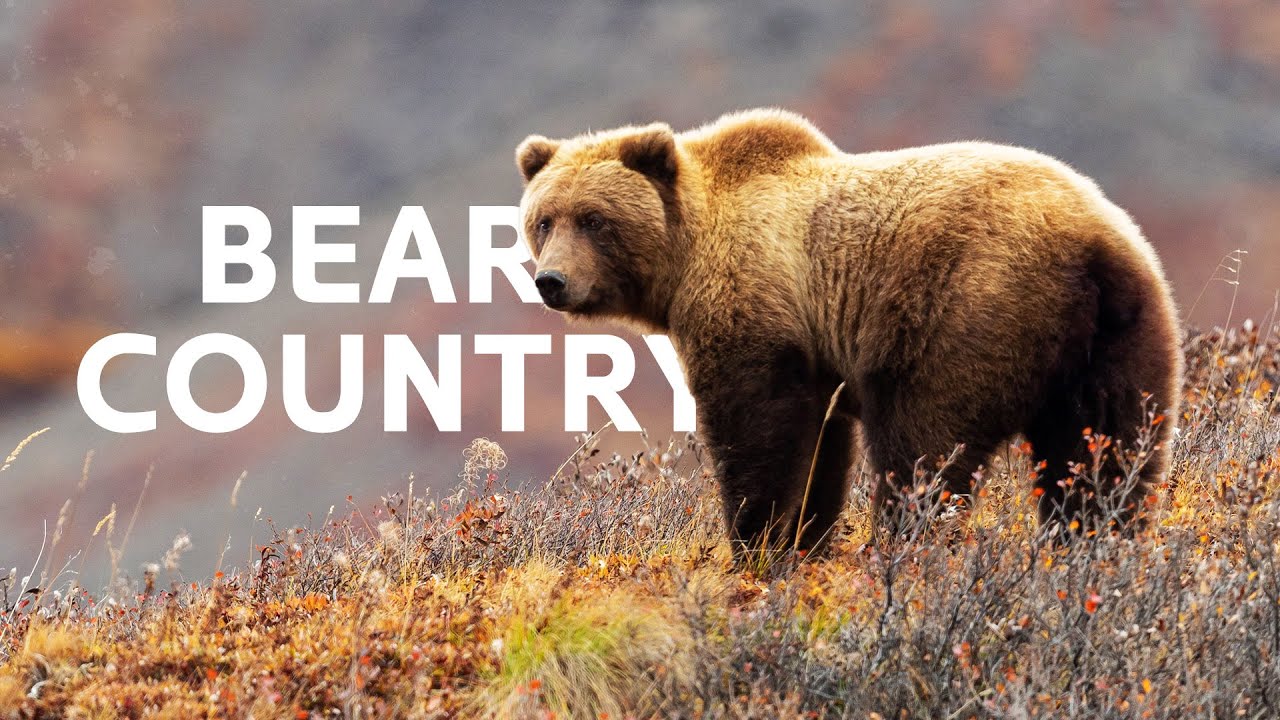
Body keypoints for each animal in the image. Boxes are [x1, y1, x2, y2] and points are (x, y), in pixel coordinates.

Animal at [515, 108, 1182, 554]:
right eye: (544, 220)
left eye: (595, 219)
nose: (551, 281)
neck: (687, 253)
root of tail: (1090, 243)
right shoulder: (816, 355)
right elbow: (820, 448)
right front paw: (803, 541)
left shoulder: (755, 305)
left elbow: (758, 431)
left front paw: (757, 543)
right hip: (1121, 337)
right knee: (1108, 453)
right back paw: (1094, 545)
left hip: (966, 310)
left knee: (922, 447)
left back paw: (902, 547)